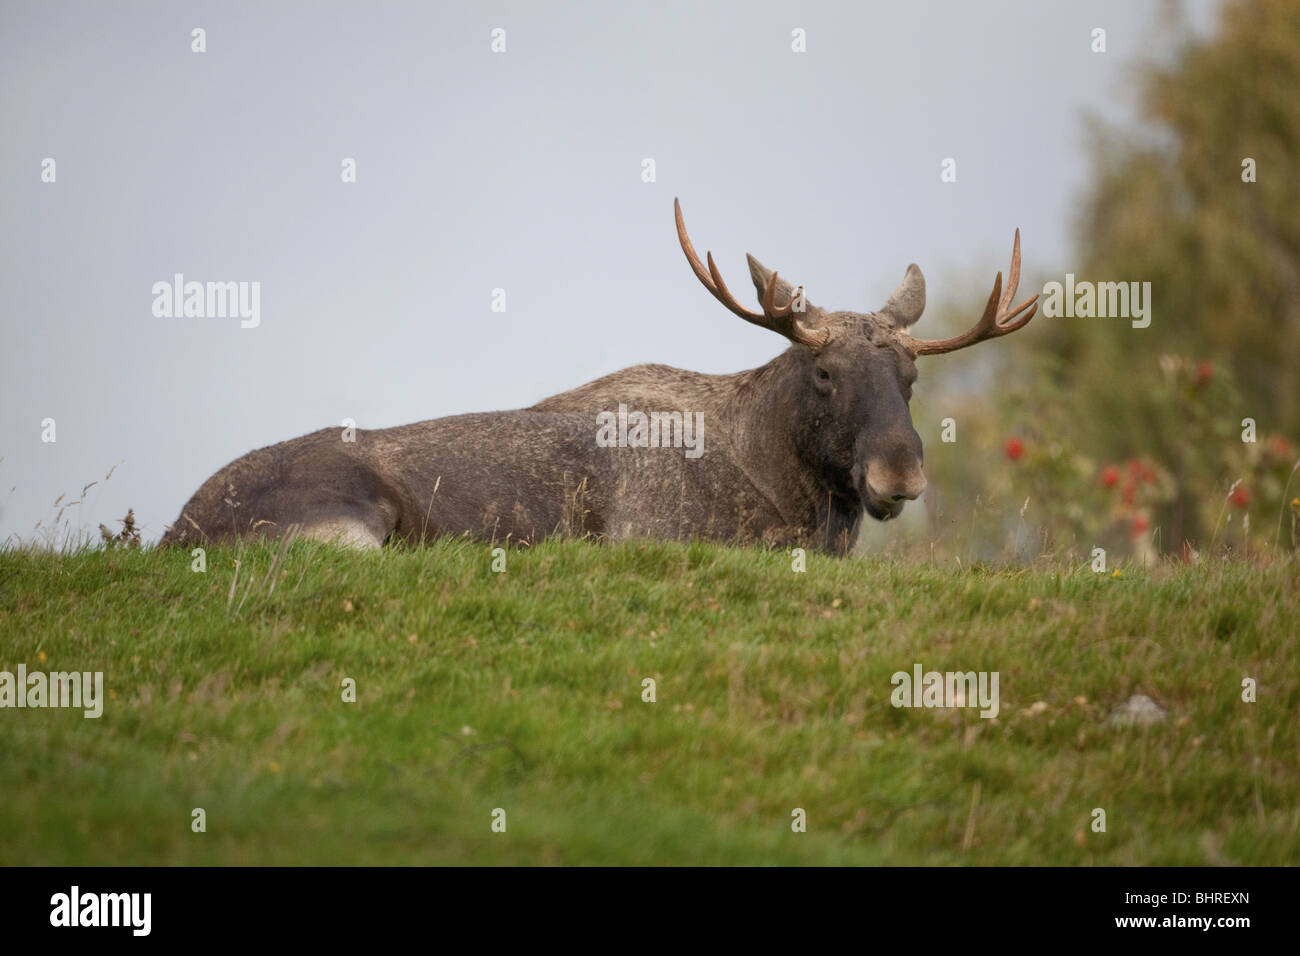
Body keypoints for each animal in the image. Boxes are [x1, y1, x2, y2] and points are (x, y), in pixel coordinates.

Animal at [160, 199, 1037, 555]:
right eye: (823, 370)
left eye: (910, 376)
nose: (900, 474)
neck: (792, 499)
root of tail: (176, 531)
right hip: (352, 526)